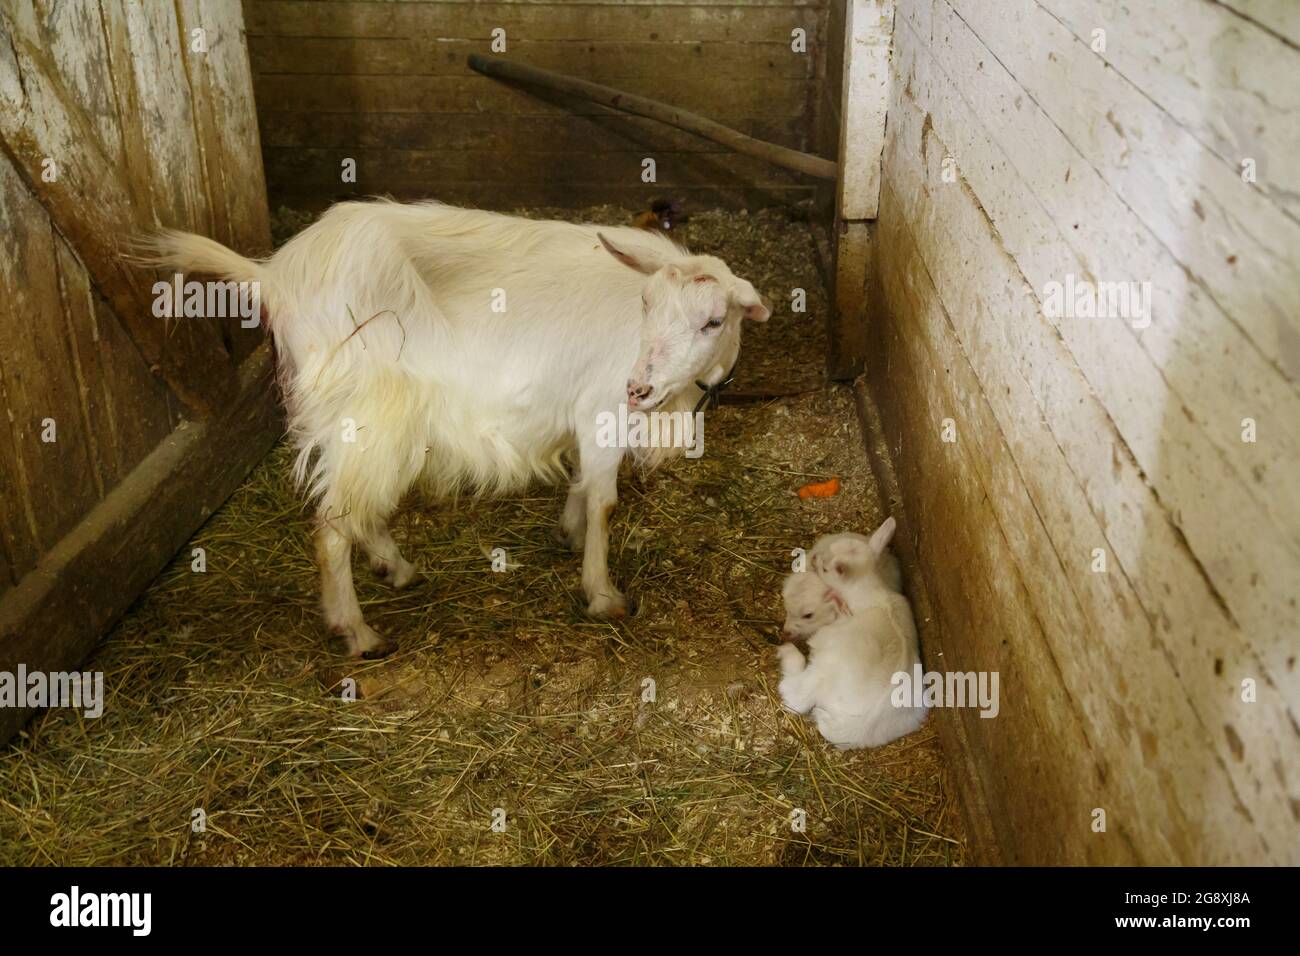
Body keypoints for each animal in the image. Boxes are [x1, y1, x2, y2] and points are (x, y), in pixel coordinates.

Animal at [145, 199, 770, 656]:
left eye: (714, 320)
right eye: (645, 305)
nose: (638, 386)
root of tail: (272, 276)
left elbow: (582, 487)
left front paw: (567, 534)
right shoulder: (601, 410)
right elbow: (604, 501)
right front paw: (602, 592)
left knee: (355, 510)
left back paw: (395, 567)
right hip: (372, 408)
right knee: (331, 525)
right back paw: (358, 632)